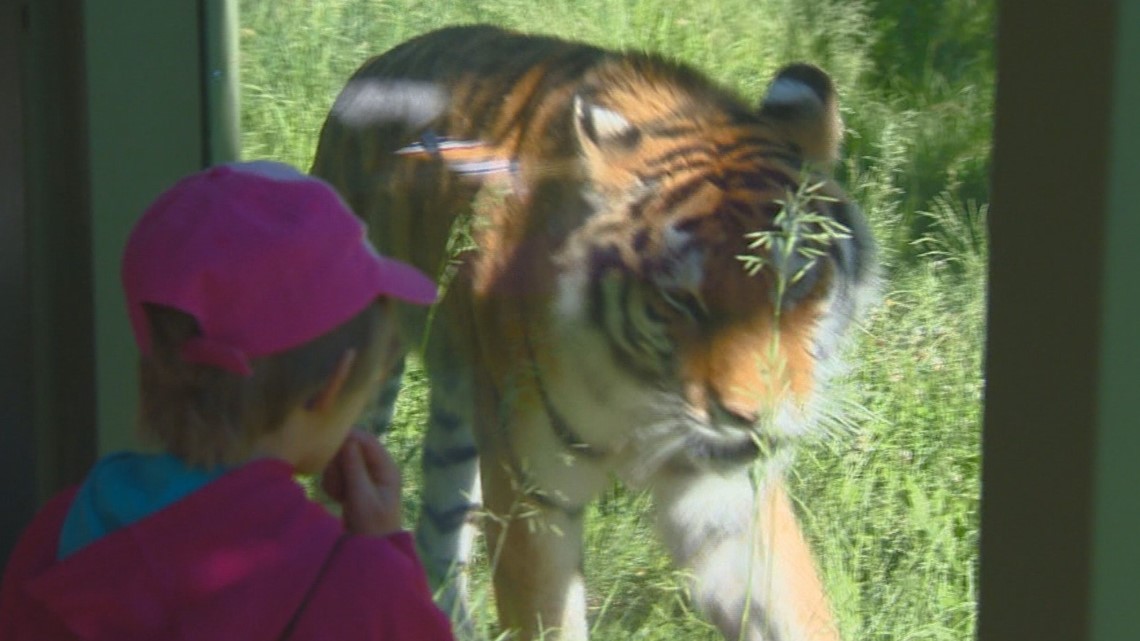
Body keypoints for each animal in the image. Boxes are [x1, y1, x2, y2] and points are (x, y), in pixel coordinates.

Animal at [310, 24, 876, 641]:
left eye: (795, 282)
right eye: (680, 300)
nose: (752, 418)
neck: (639, 390)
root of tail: (372, 68)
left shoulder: (725, 504)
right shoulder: (534, 495)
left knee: (436, 538)